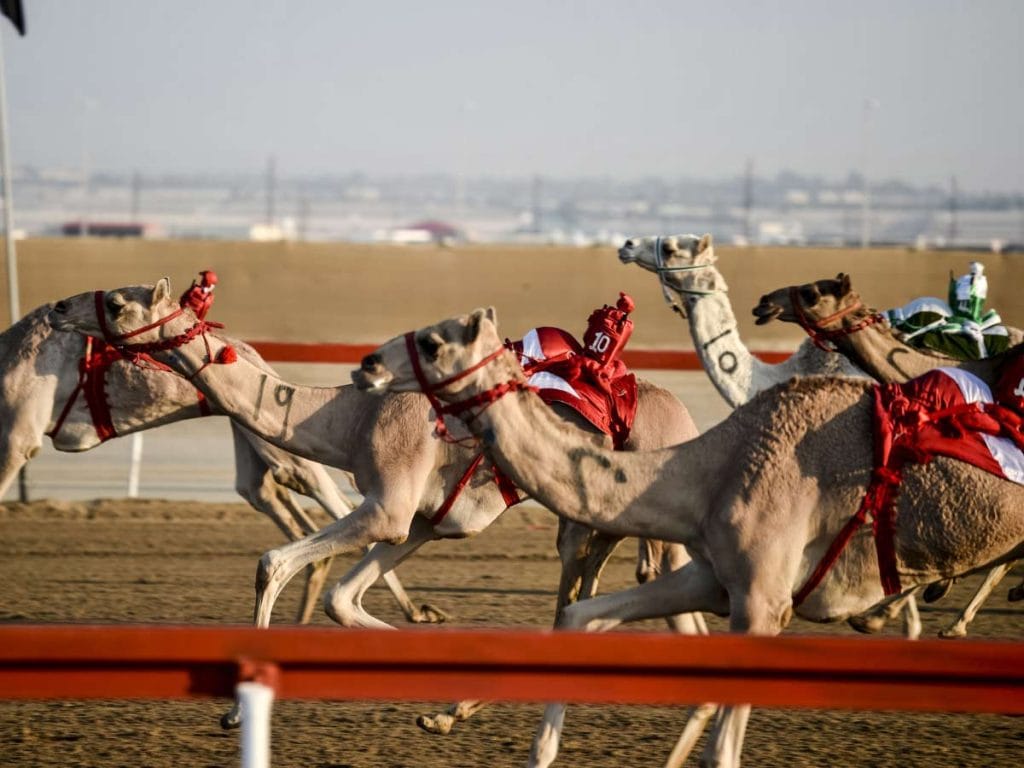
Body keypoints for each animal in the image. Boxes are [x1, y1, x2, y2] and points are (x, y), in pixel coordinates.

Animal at [0, 302, 438, 627]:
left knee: (321, 491)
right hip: (246, 433)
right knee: (266, 492)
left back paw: (414, 609)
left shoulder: (18, 435)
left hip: (274, 439)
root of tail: (253, 355)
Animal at [45, 278, 709, 740]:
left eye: (120, 304)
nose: (59, 307)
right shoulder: (421, 523)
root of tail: (685, 416)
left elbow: (274, 560)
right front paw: (435, 699)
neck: (347, 418)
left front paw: (236, 715)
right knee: (583, 596)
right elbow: (343, 601)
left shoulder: (388, 505)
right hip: (590, 525)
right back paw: (460, 712)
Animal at [350, 306, 1024, 768]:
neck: (715, 466)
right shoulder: (714, 577)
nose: (367, 365)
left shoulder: (761, 605)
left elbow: (723, 751)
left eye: (433, 341)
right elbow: (584, 617)